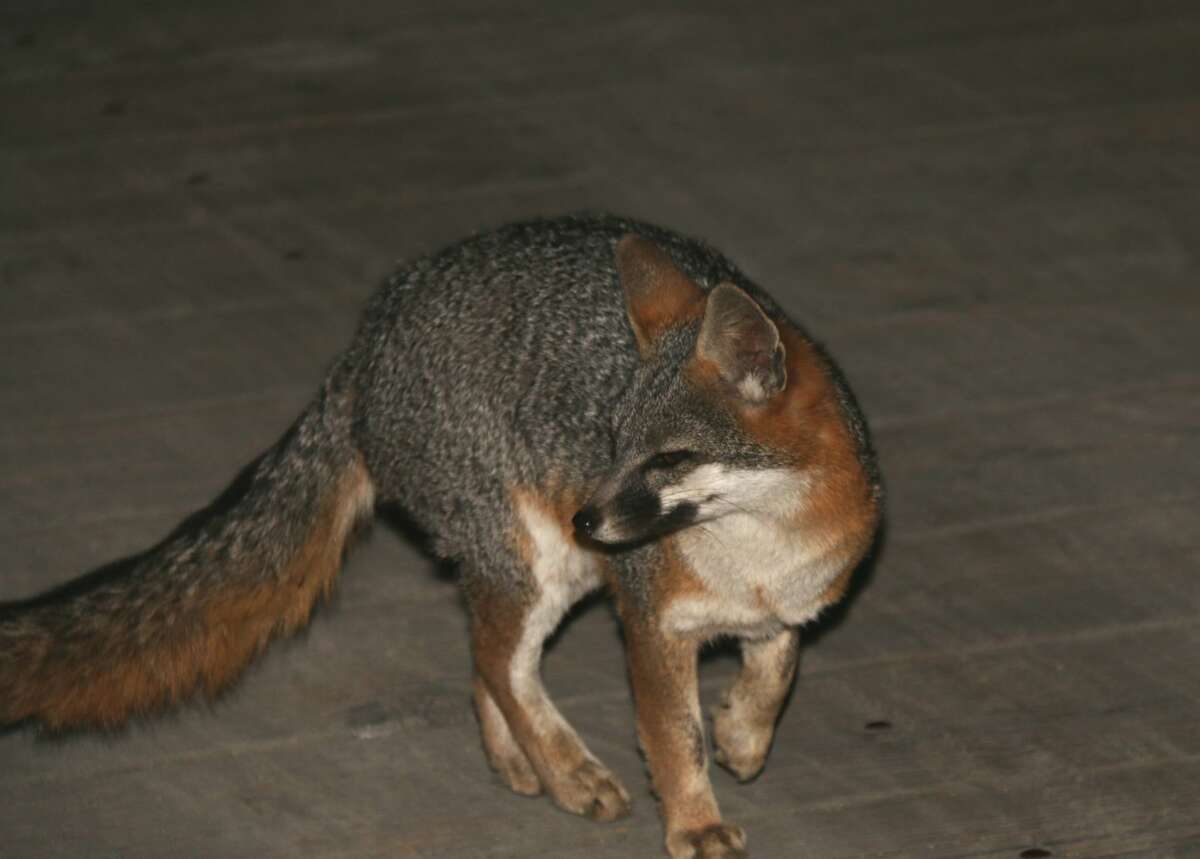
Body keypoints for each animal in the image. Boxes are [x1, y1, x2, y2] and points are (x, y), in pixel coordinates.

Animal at [0, 213, 881, 859]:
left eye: (670, 458)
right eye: (611, 439)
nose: (589, 517)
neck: (758, 560)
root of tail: (371, 331)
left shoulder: (789, 605)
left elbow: (776, 673)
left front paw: (742, 734)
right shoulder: (649, 621)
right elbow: (674, 737)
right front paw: (695, 821)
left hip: (553, 568)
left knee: (485, 660)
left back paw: (520, 761)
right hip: (542, 563)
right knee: (498, 659)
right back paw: (565, 769)